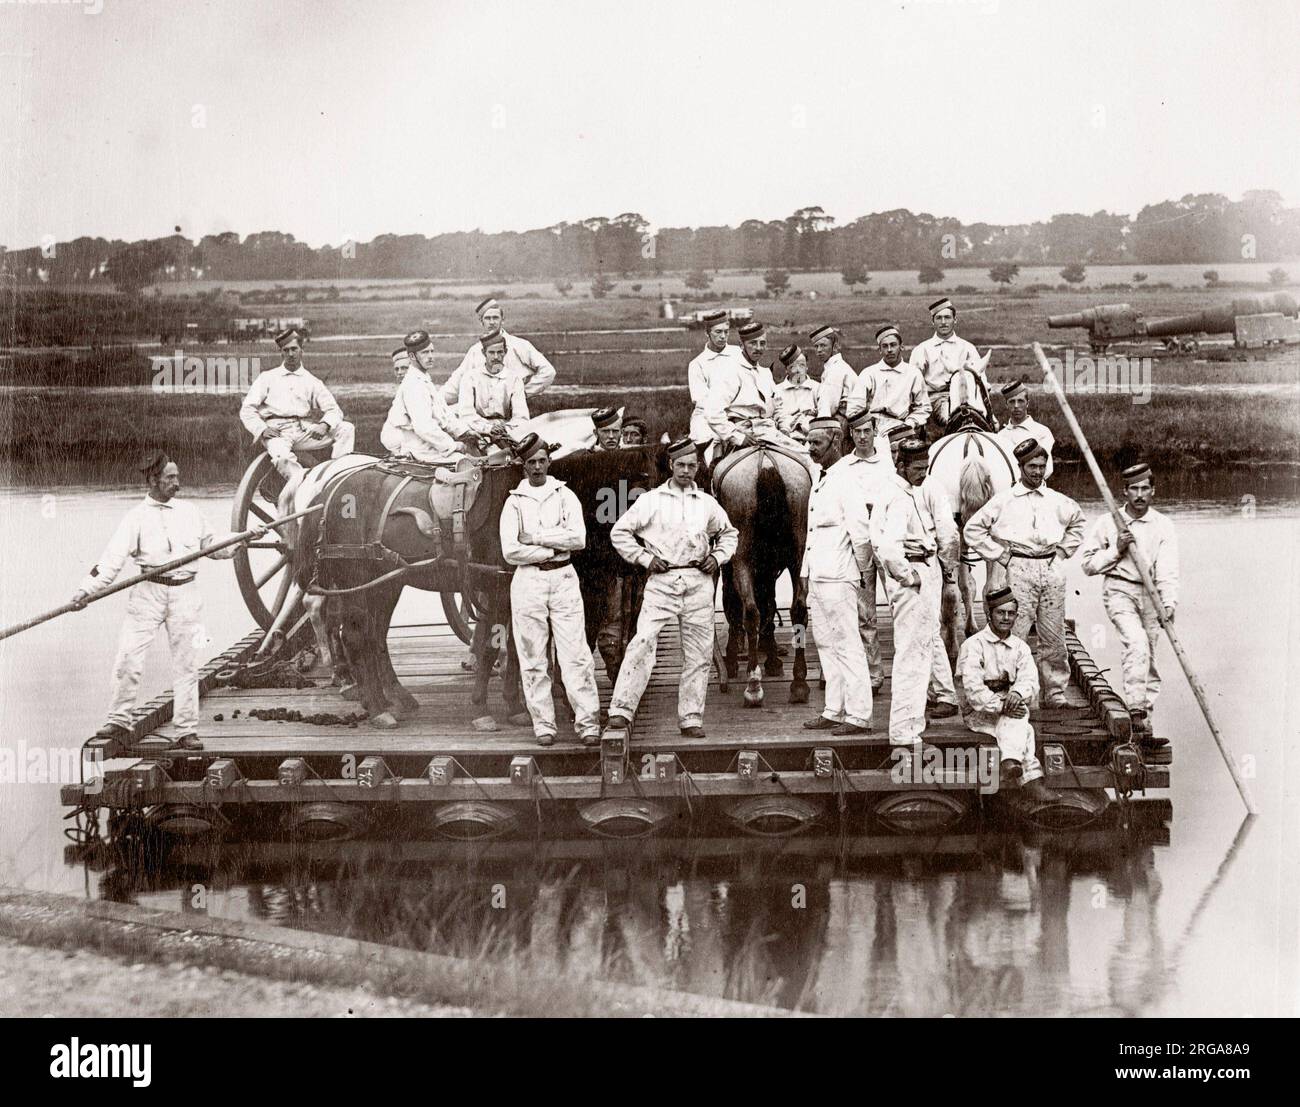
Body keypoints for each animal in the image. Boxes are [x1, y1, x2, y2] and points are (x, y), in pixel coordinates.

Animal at [712, 444, 811, 706]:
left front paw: (733, 661)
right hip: (799, 555)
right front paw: (773, 658)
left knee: (750, 611)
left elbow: (735, 605)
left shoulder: (731, 565)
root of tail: (765, 462)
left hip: (741, 556)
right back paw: (798, 683)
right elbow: (769, 603)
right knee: (798, 609)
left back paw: (753, 685)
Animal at [925, 405, 1013, 657]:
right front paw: (972, 627)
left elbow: (965, 586)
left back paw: (952, 644)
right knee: (985, 589)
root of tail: (973, 451)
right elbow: (969, 586)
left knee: (952, 593)